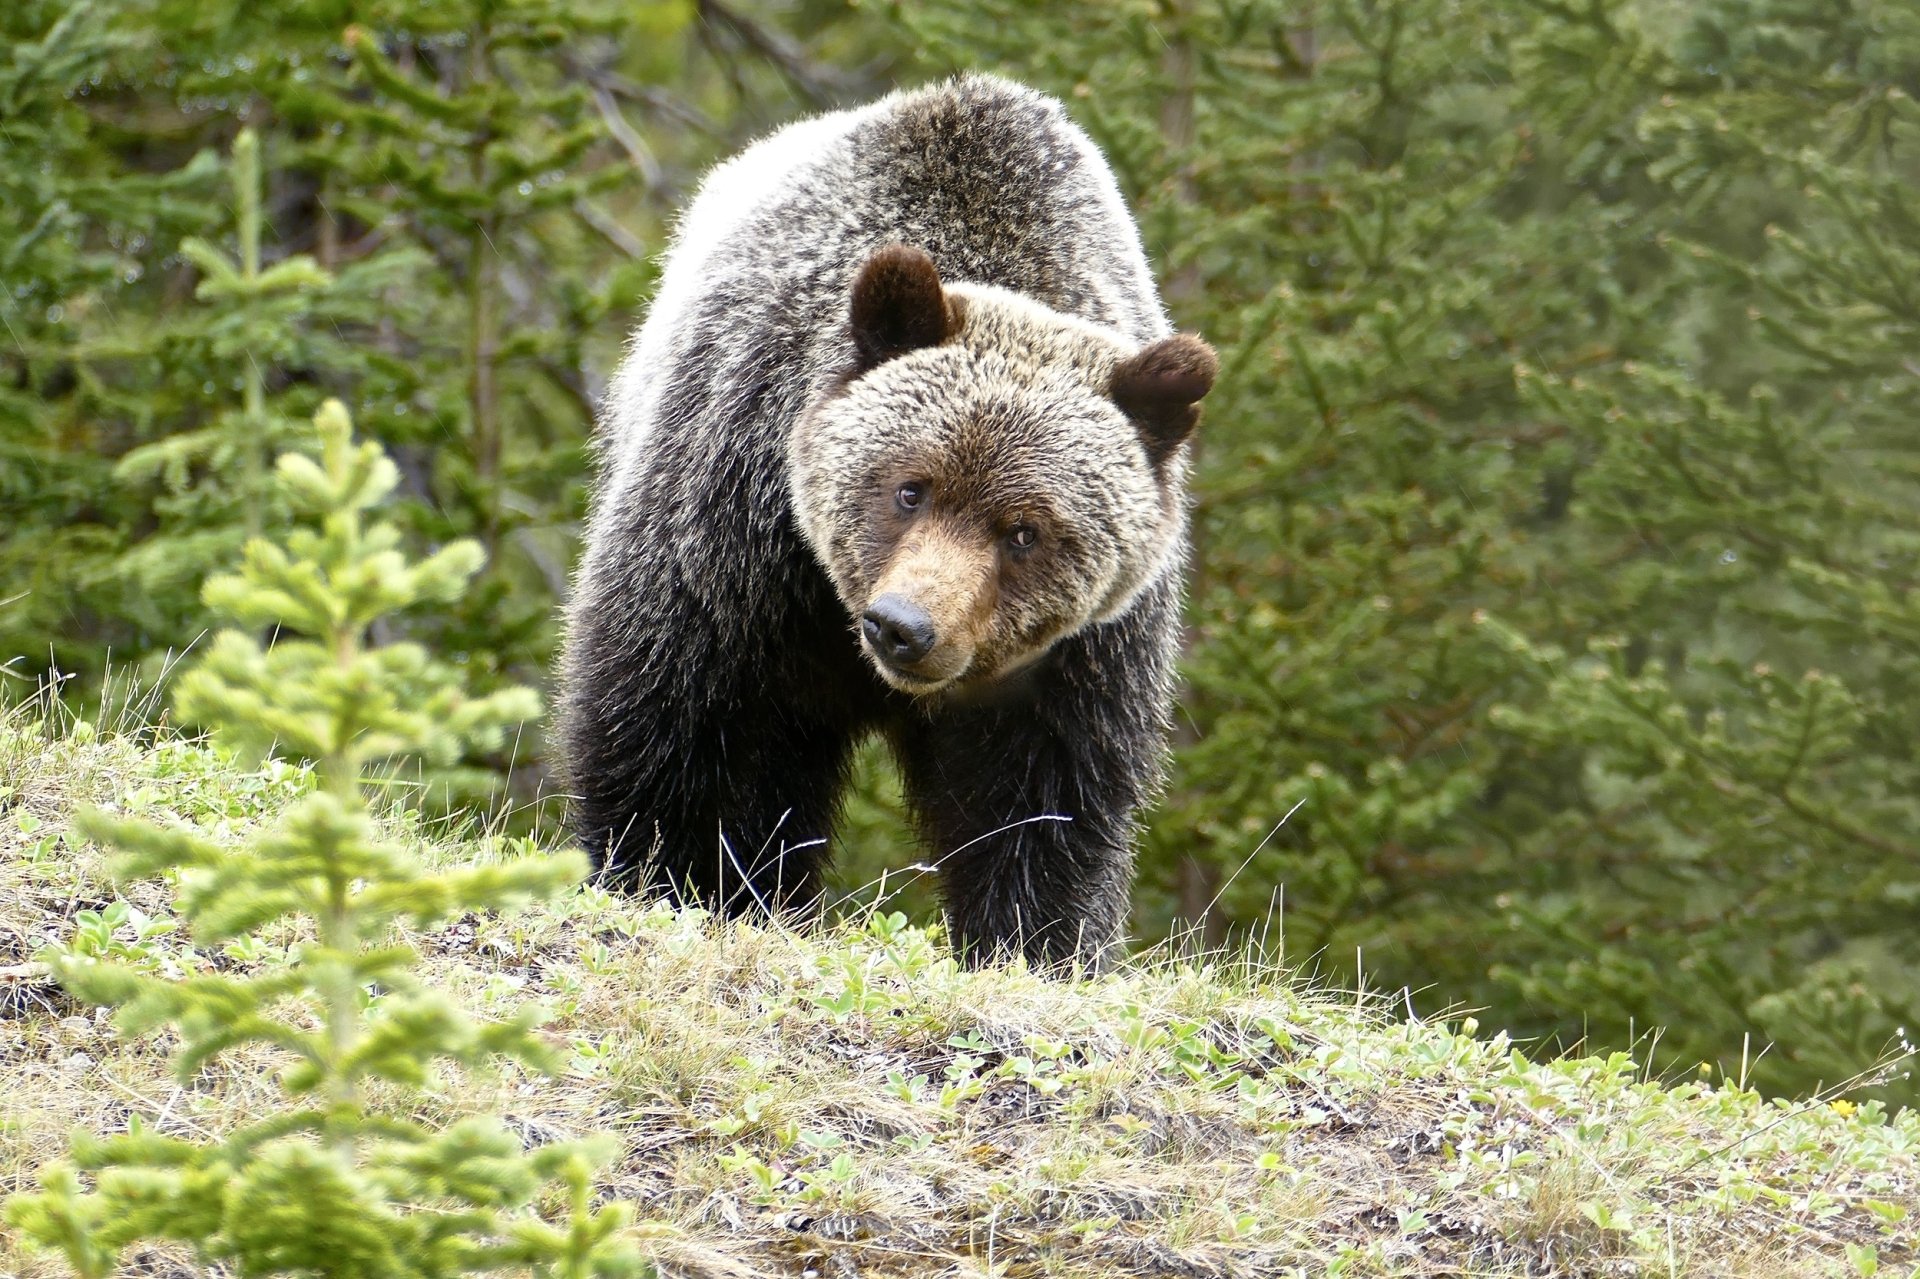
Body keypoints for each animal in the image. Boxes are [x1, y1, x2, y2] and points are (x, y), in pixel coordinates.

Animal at [557, 73, 1216, 968]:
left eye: (1025, 529)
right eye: (911, 487)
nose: (905, 626)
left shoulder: (1079, 656)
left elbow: (1044, 800)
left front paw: (1035, 939)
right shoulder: (738, 543)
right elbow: (691, 725)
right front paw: (688, 881)